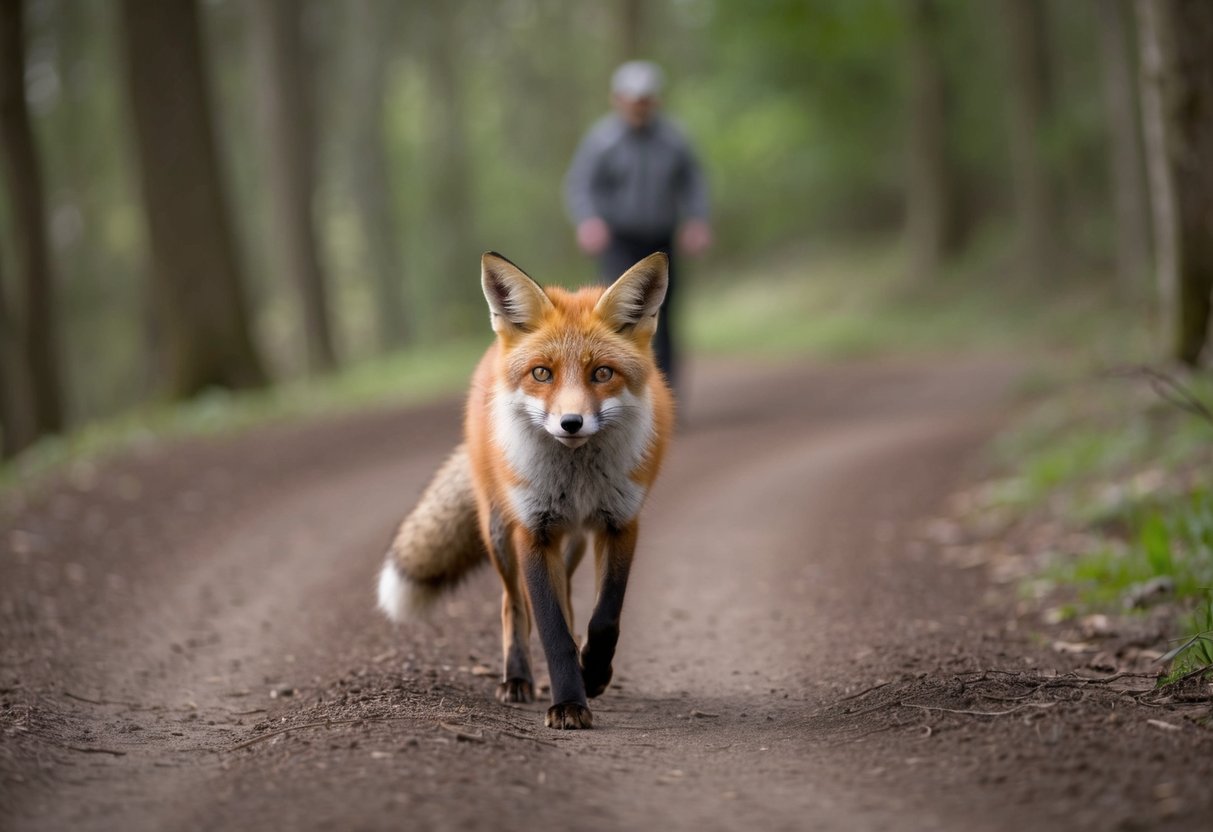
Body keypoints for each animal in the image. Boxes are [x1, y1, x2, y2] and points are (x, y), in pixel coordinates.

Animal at [377, 251, 674, 729]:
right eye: (542, 373)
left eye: (602, 373)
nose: (571, 423)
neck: (577, 478)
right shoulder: (533, 531)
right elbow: (551, 631)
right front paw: (569, 703)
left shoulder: (620, 523)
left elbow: (604, 618)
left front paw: (594, 673)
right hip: (500, 531)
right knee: (512, 604)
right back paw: (517, 678)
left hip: (572, 541)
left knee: (568, 599)